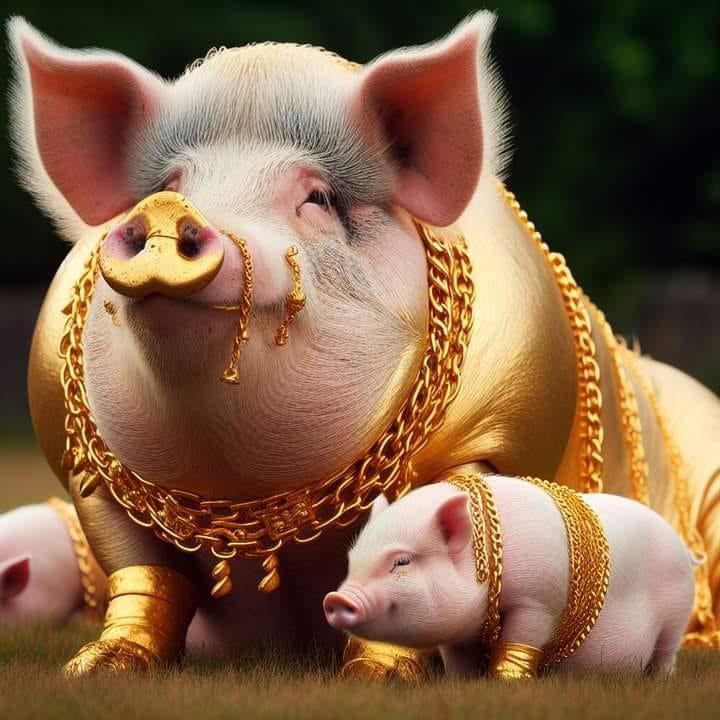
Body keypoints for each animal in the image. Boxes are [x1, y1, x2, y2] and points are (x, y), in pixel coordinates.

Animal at [325, 479, 697, 676]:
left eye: (401, 561)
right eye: (351, 561)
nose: (336, 598)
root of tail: (684, 548)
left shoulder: (538, 602)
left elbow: (520, 640)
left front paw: (507, 682)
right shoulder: (458, 631)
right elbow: (458, 661)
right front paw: (460, 686)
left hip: (676, 614)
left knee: (667, 653)